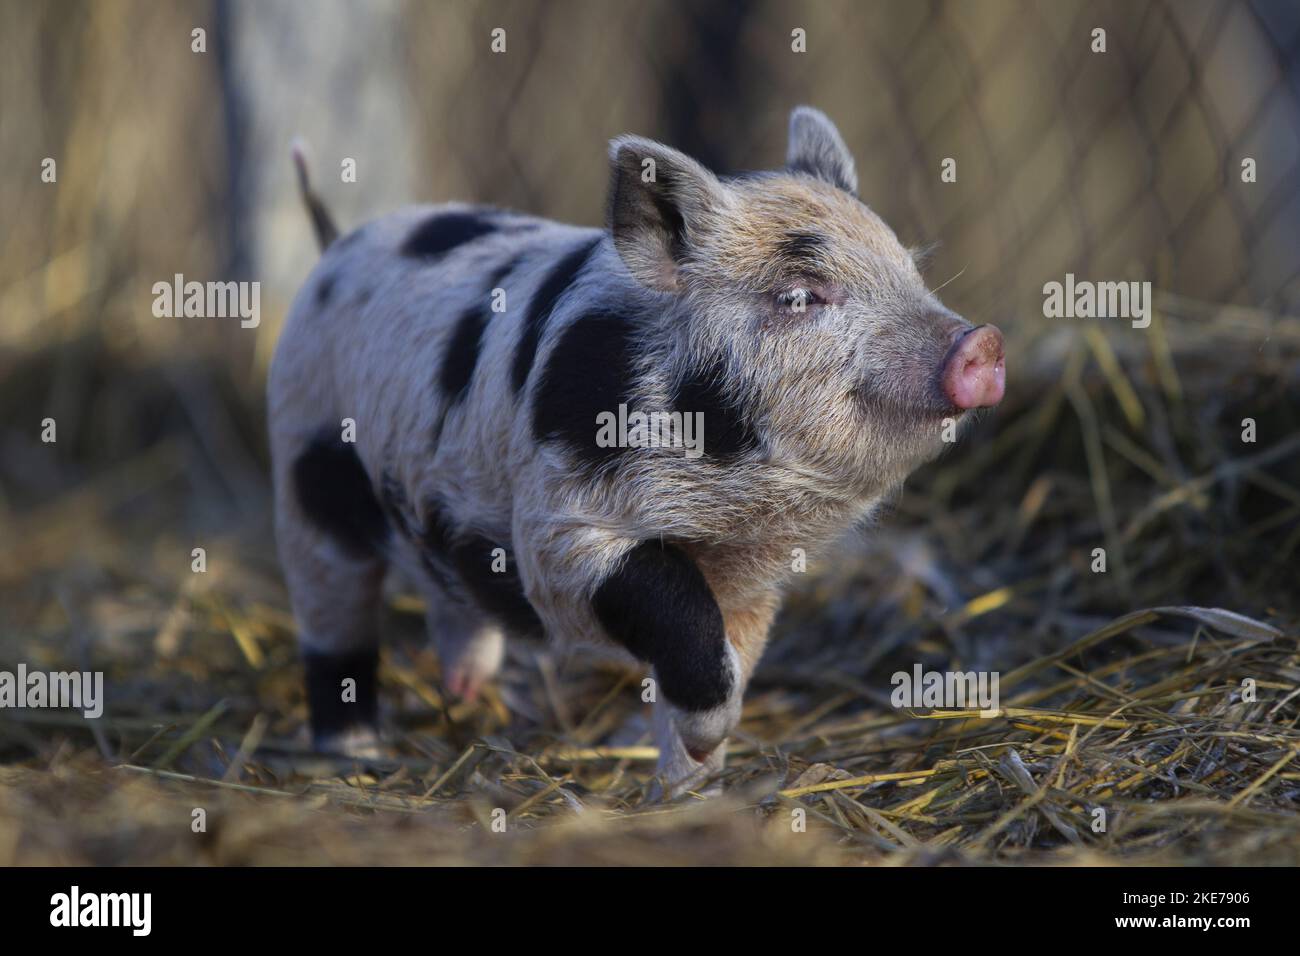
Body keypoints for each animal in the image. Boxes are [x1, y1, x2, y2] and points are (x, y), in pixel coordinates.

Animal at [269, 107, 1005, 797]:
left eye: (908, 266)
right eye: (800, 295)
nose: (982, 343)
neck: (719, 497)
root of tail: (335, 246)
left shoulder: (748, 584)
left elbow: (724, 659)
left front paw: (693, 787)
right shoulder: (560, 532)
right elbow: (680, 620)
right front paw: (706, 741)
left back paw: (463, 693)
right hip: (307, 471)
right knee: (334, 627)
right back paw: (354, 756)